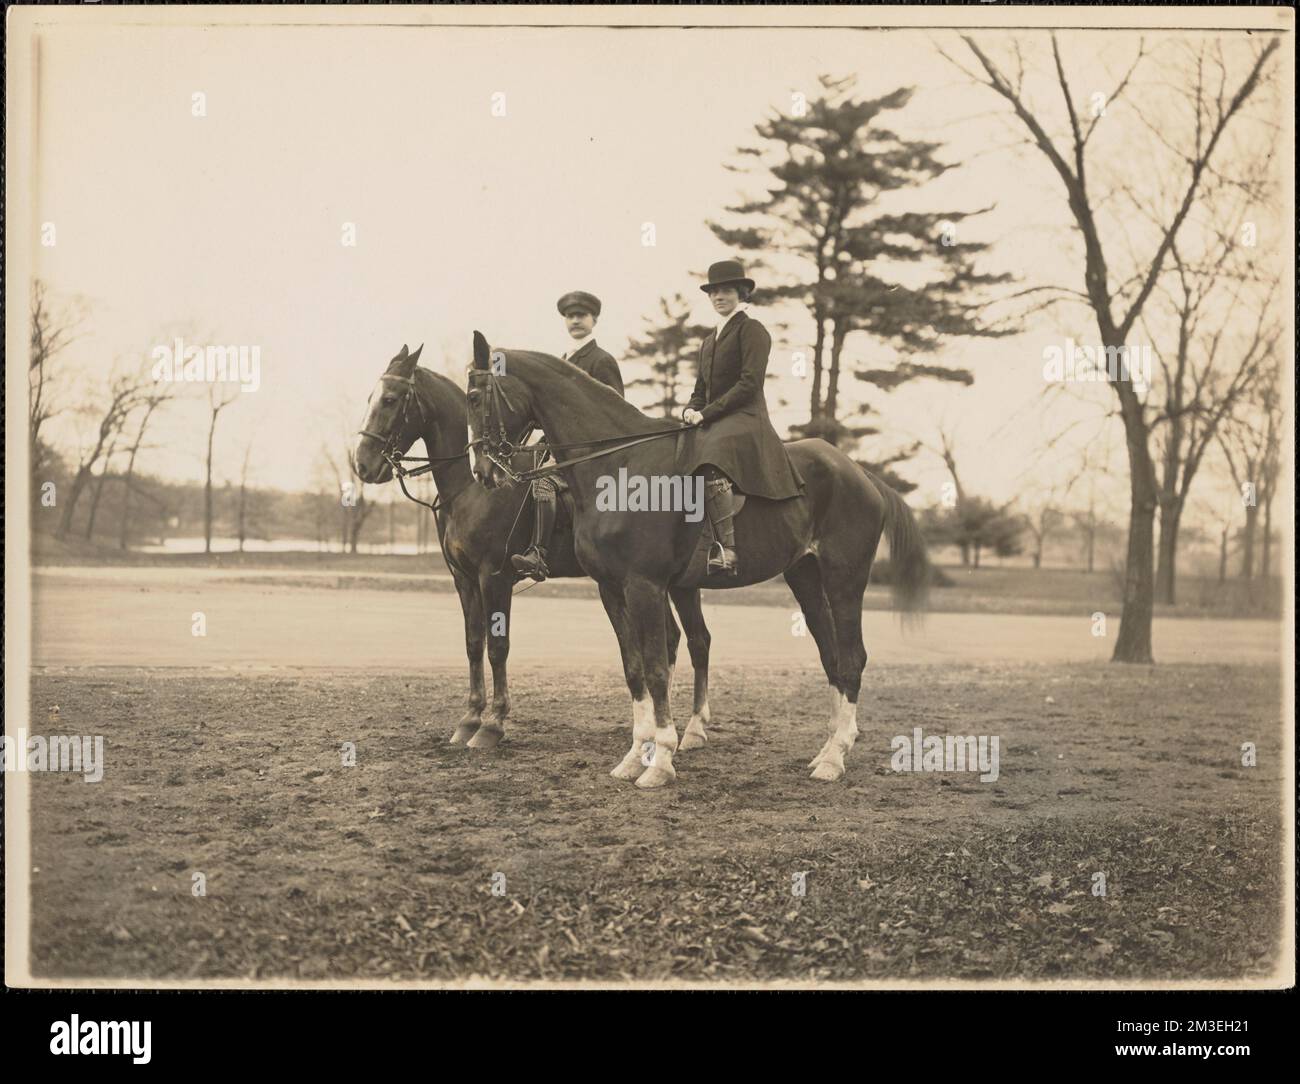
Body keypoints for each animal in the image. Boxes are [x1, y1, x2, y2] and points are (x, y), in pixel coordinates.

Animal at [351, 344, 713, 751]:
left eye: (390, 399)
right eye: (371, 398)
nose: (362, 464)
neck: (470, 489)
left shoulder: (493, 577)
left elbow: (498, 647)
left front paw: (492, 724)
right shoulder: (463, 578)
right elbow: (473, 643)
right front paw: (469, 718)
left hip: (673, 582)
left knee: (697, 641)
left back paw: (691, 728)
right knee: (673, 639)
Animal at [465, 333, 930, 788]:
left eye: (475, 396)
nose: (484, 473)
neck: (618, 466)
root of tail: (859, 472)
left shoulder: (644, 586)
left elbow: (656, 668)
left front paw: (660, 760)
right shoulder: (611, 589)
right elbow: (634, 669)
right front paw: (634, 756)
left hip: (844, 578)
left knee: (852, 657)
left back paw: (835, 757)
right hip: (806, 577)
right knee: (831, 655)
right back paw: (827, 749)